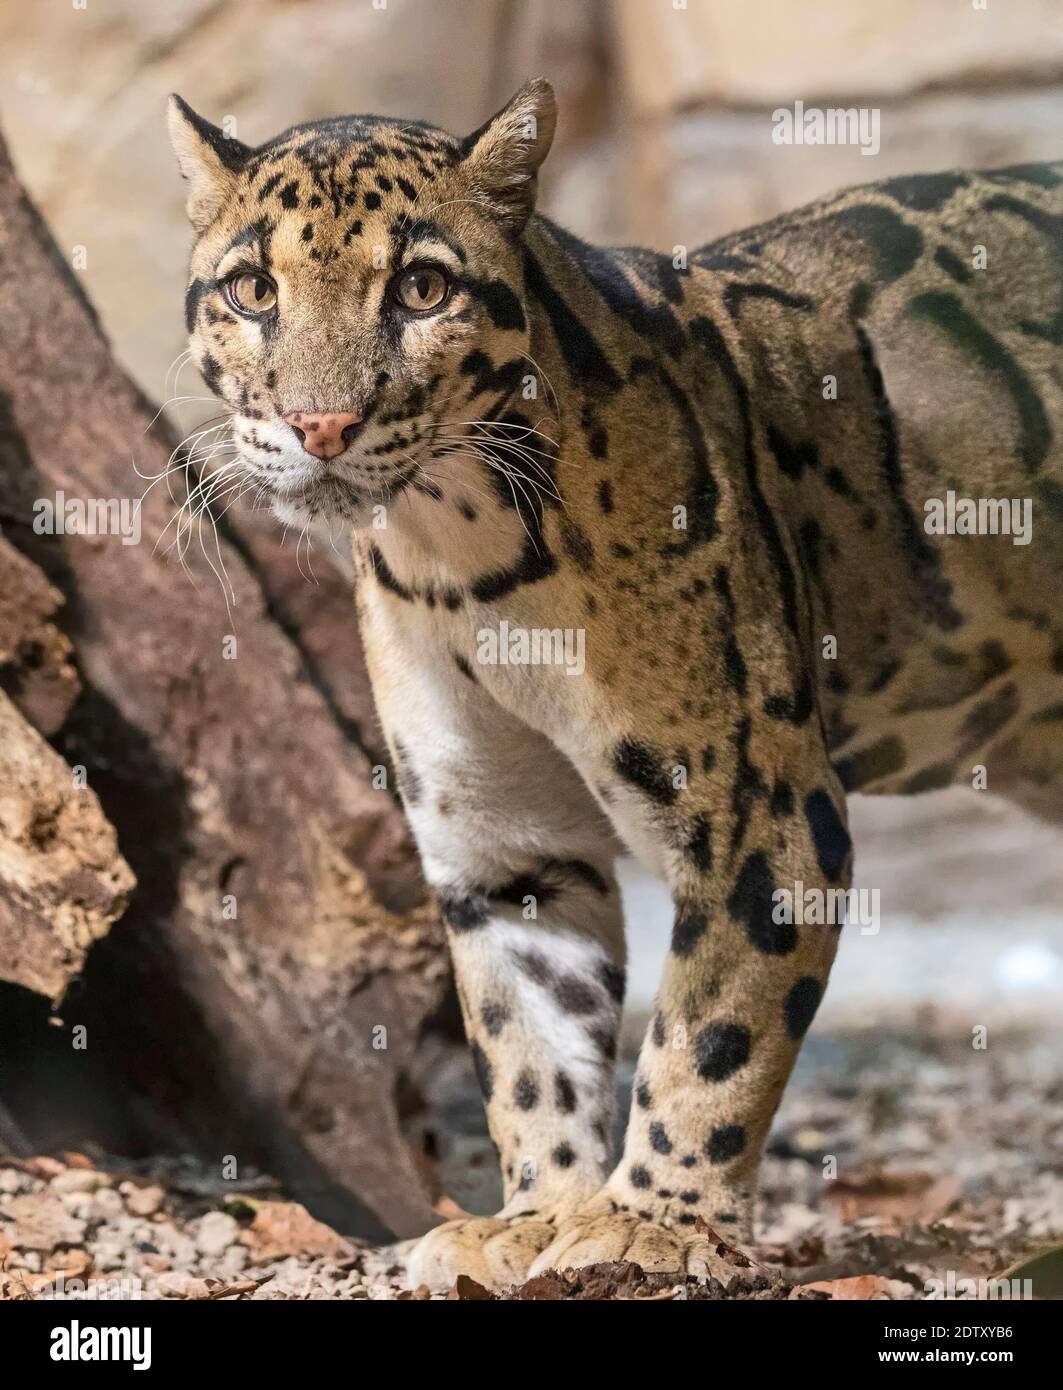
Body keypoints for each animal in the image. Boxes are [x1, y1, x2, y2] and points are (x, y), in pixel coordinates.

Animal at [168, 78, 1063, 1290]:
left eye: (421, 287)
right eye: (253, 288)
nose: (320, 425)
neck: (461, 562)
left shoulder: (764, 815)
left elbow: (710, 1035)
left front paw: (657, 1219)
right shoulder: (500, 838)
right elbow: (527, 1036)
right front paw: (534, 1213)